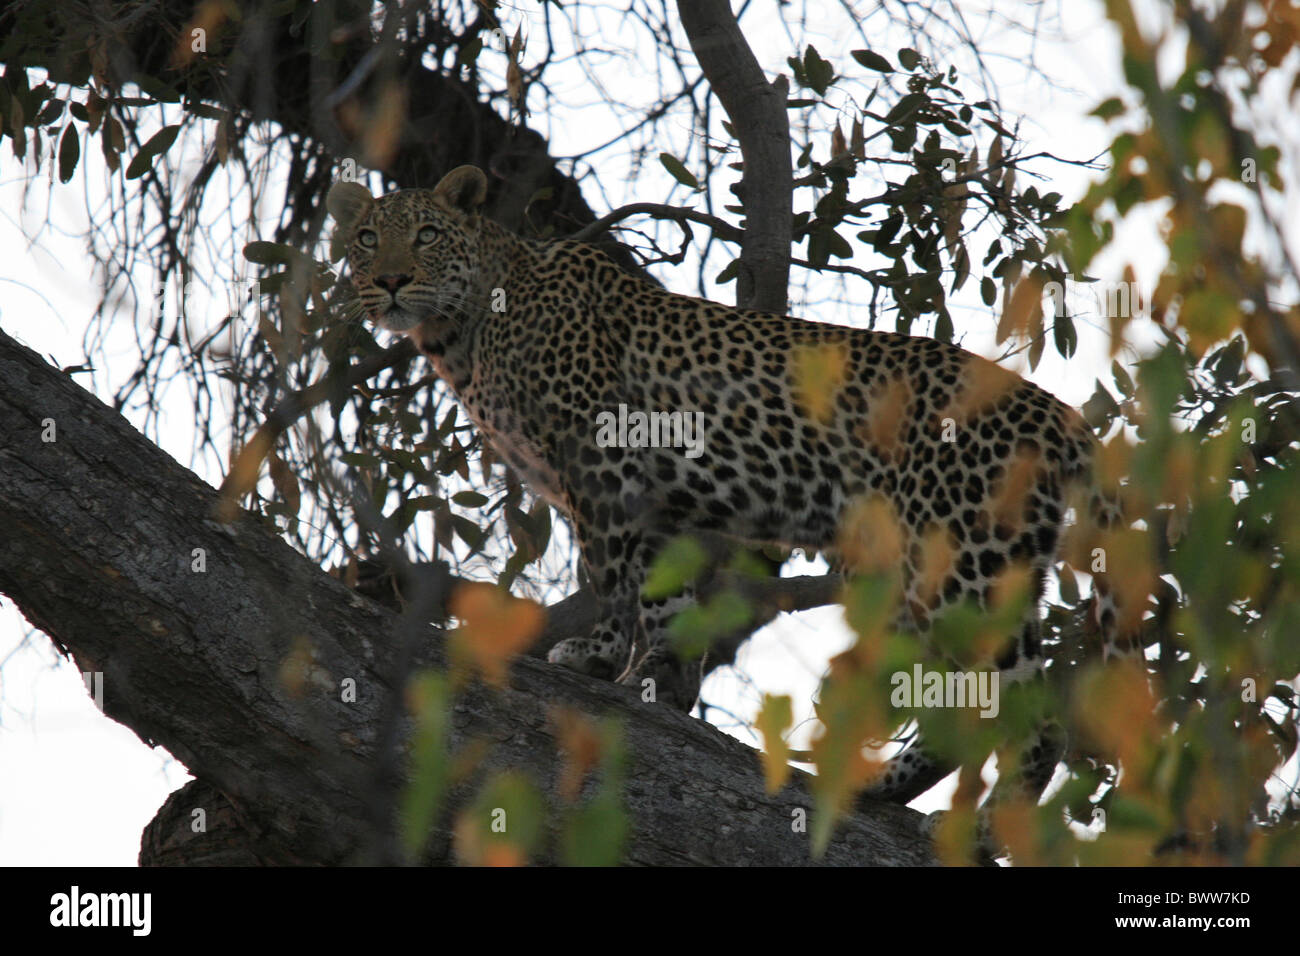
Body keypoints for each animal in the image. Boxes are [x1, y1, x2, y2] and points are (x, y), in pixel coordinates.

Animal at [326, 164, 1129, 808]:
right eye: (366, 238)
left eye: (427, 234)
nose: (389, 281)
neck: (461, 333)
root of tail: (1057, 412)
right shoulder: (655, 503)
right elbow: (664, 597)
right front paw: (662, 683)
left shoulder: (598, 457)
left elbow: (607, 574)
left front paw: (596, 654)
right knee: (960, 698)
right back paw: (885, 787)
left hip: (963, 563)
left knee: (1032, 709)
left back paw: (997, 825)